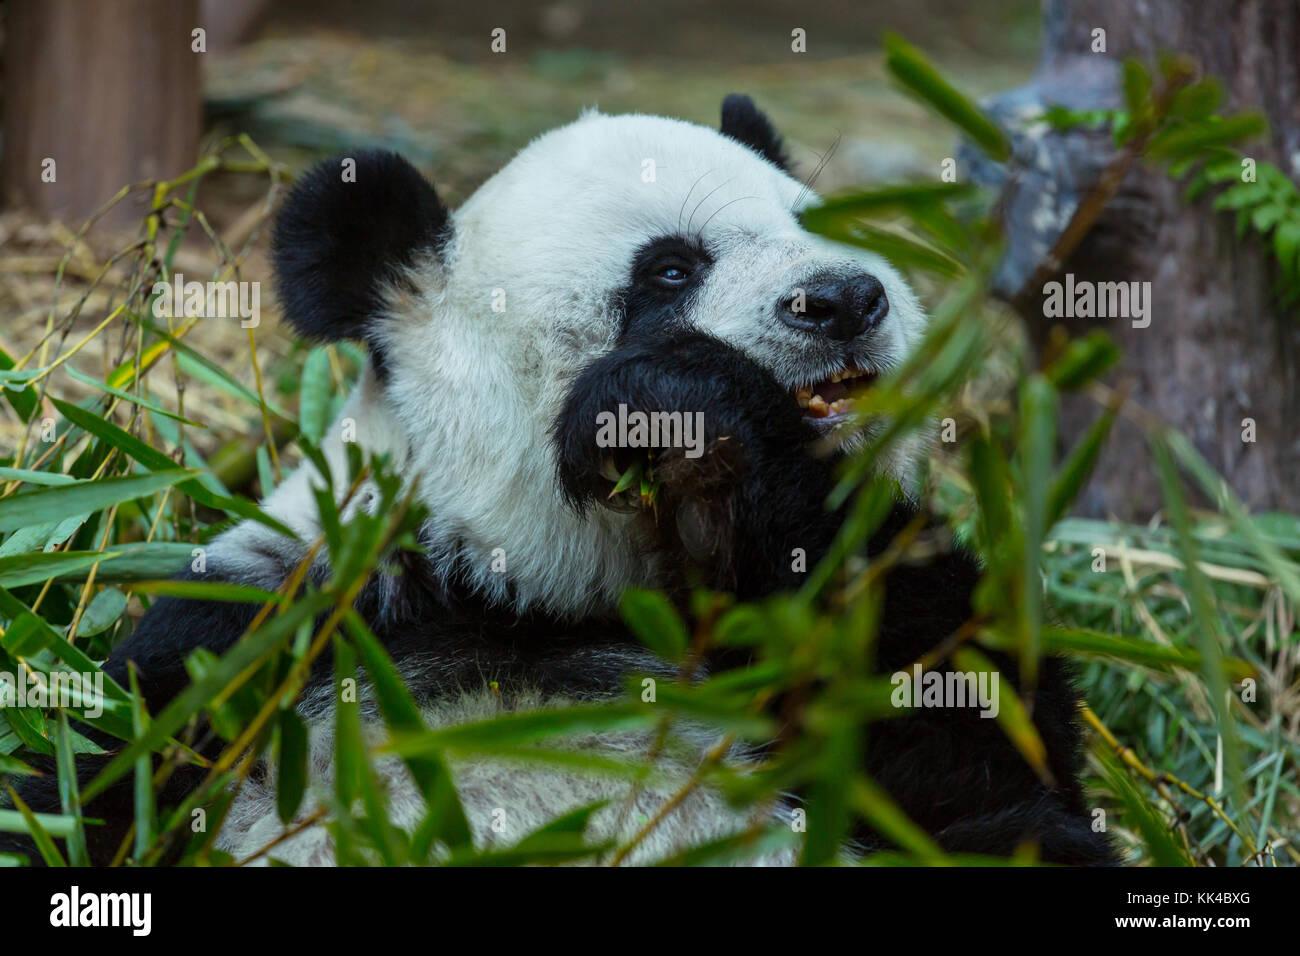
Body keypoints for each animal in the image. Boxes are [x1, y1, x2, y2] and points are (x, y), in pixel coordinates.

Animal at [3, 95, 1115, 866]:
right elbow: (77, 791)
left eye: (824, 227)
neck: (540, 594)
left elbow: (984, 759)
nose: (844, 298)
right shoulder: (269, 629)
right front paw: (677, 398)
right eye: (669, 268)